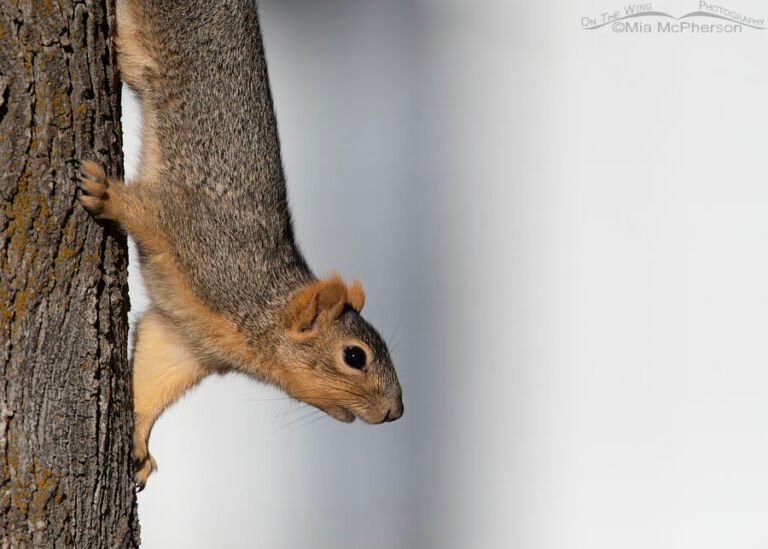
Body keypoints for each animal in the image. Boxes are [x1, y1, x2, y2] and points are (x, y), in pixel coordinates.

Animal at [77, 0, 403, 489]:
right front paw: (105, 195)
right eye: (354, 356)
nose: (396, 411)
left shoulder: (184, 340)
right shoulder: (196, 235)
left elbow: (153, 378)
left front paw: (138, 442)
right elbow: (146, 207)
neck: (259, 305)